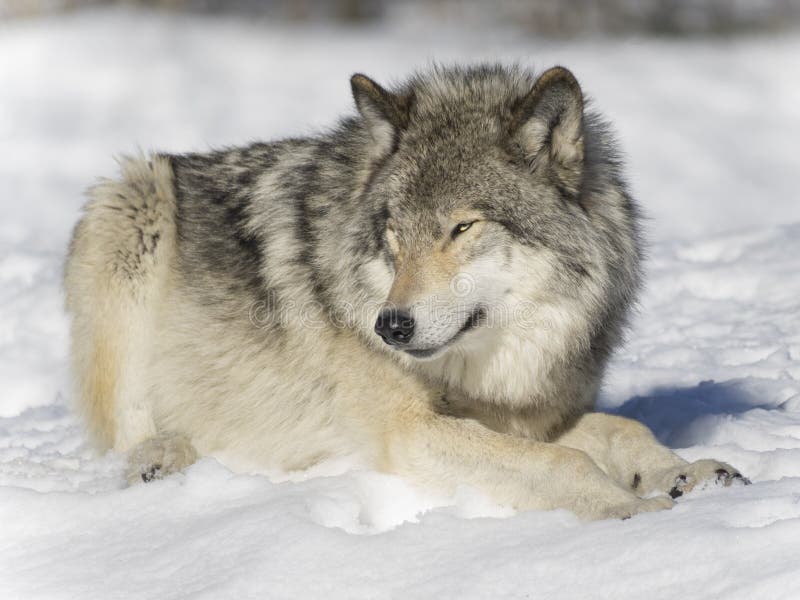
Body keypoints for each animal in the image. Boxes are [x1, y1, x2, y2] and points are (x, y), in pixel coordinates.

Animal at [64, 64, 748, 520]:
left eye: (462, 227)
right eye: (394, 233)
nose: (389, 326)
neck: (497, 362)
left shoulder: (525, 418)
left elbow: (622, 429)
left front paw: (686, 472)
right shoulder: (411, 431)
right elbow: (566, 462)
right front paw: (636, 513)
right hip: (131, 202)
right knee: (125, 435)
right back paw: (163, 460)